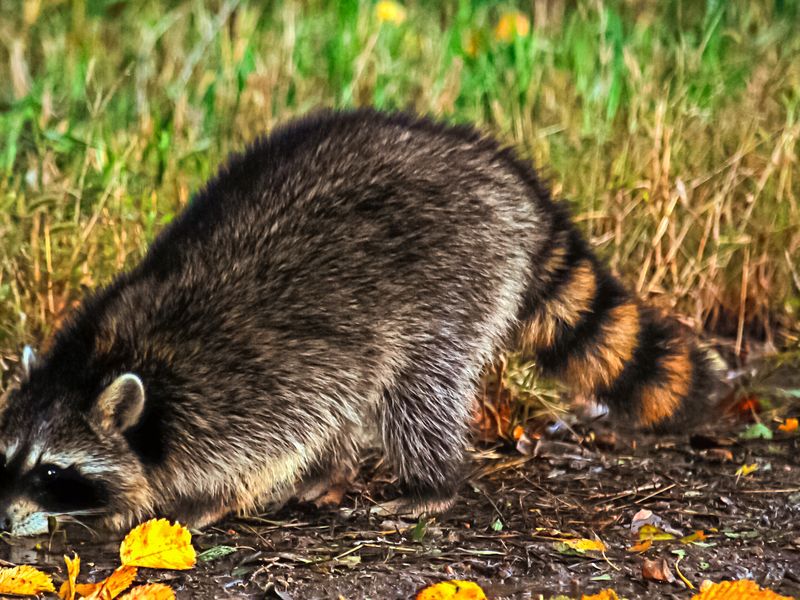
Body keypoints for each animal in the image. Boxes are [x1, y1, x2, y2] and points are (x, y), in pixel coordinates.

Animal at [0, 110, 718, 536]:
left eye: (52, 472)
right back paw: (334, 471)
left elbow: (261, 447)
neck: (101, 357)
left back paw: (430, 484)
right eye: (6, 458)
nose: (3, 518)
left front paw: (192, 502)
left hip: (453, 277)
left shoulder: (238, 382)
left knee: (418, 392)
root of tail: (508, 179)